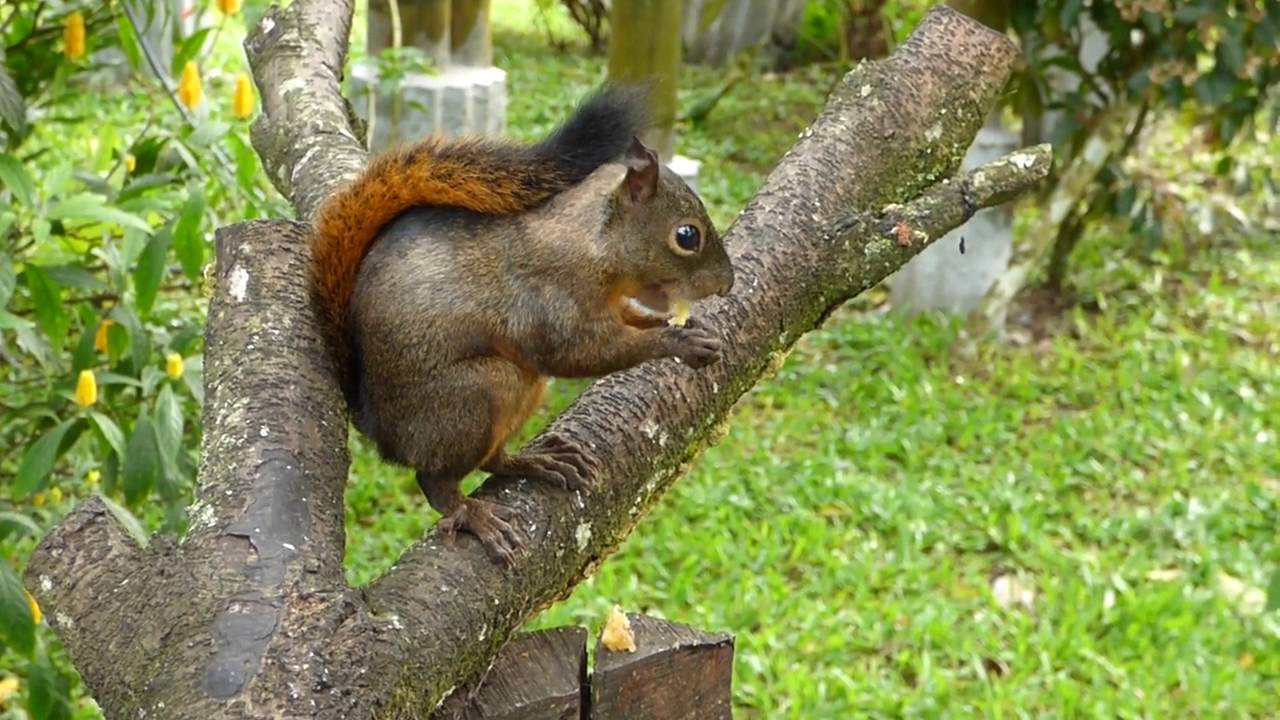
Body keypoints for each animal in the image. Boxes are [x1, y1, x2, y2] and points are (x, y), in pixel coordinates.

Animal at [308, 85, 736, 564]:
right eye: (687, 236)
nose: (728, 283)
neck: (593, 242)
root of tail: (378, 427)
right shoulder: (552, 299)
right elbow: (581, 352)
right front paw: (677, 342)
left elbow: (631, 318)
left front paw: (677, 325)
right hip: (477, 395)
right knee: (435, 480)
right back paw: (471, 514)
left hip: (524, 391)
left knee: (492, 460)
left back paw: (536, 462)